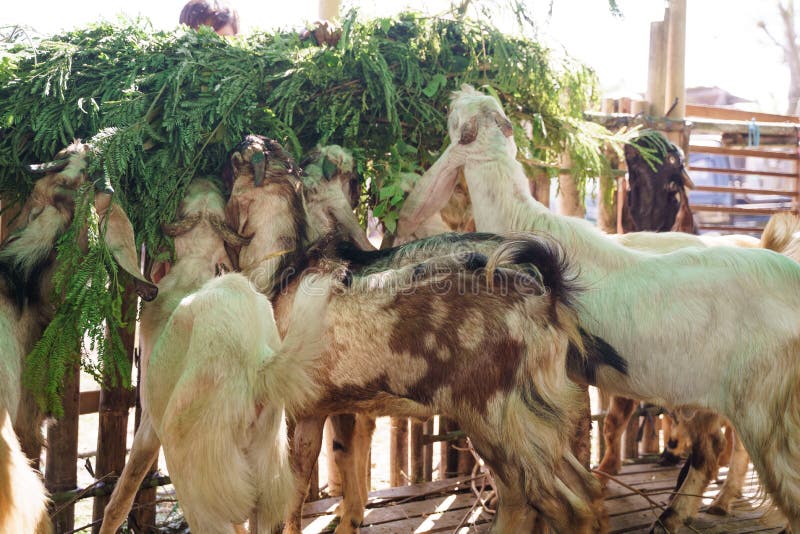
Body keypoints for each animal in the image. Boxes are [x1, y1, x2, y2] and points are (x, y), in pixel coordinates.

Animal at [226, 135, 611, 534]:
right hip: (539, 414)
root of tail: (547, 294)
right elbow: (307, 482)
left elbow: (280, 498)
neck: (285, 269)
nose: (245, 138)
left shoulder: (286, 411)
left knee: (545, 499)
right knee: (578, 486)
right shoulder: (316, 410)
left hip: (497, 417)